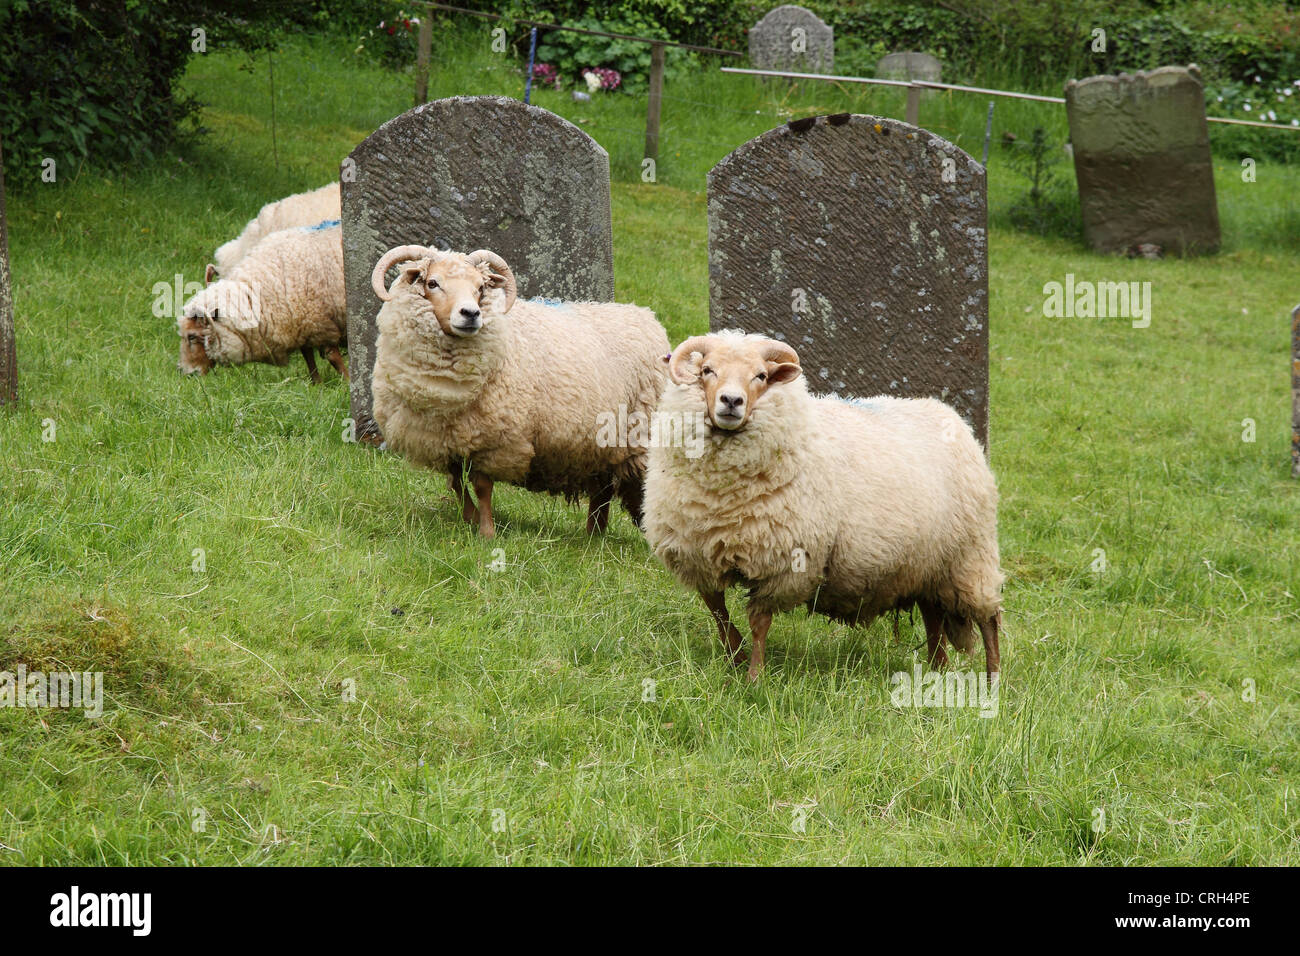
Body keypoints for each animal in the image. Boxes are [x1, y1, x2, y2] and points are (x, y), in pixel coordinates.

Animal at [178, 220, 348, 383]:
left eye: (192, 336)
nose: (184, 372)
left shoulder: (321, 322)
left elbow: (331, 356)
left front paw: (346, 382)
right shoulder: (304, 325)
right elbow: (308, 356)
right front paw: (317, 384)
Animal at [369, 244, 669, 538]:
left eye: (480, 287)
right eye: (432, 283)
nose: (471, 314)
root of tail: (647, 316)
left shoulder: (494, 441)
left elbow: (482, 487)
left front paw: (486, 532)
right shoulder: (445, 439)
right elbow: (455, 483)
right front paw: (470, 517)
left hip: (637, 438)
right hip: (601, 446)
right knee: (602, 490)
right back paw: (593, 536)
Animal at [642, 331, 1003, 682]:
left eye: (761, 376)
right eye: (707, 370)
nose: (731, 401)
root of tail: (954, 418)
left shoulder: (783, 564)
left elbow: (759, 621)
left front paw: (754, 677)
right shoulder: (699, 554)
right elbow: (718, 611)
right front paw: (735, 655)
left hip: (970, 557)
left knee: (988, 621)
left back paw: (992, 681)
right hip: (927, 565)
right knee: (933, 617)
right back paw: (937, 671)